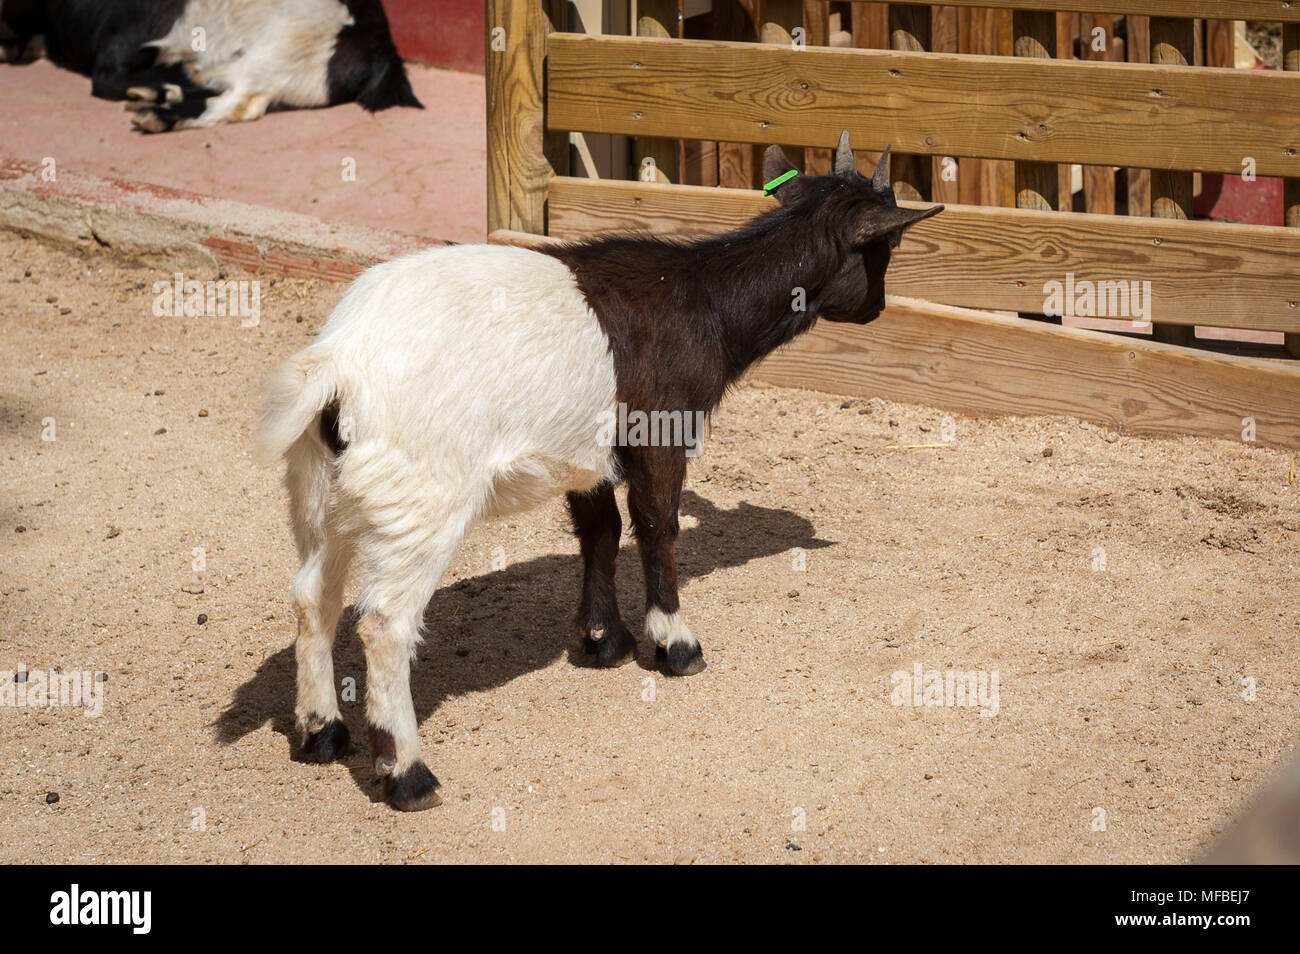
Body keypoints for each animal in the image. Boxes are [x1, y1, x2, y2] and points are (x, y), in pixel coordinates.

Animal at [256, 131, 942, 811]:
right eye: (889, 245)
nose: (877, 308)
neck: (707, 302)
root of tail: (340, 363)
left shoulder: (585, 454)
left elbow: (601, 532)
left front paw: (602, 640)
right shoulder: (661, 433)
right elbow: (657, 526)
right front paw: (675, 645)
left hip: (320, 490)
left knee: (313, 595)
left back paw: (321, 734)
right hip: (421, 501)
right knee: (384, 624)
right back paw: (407, 773)